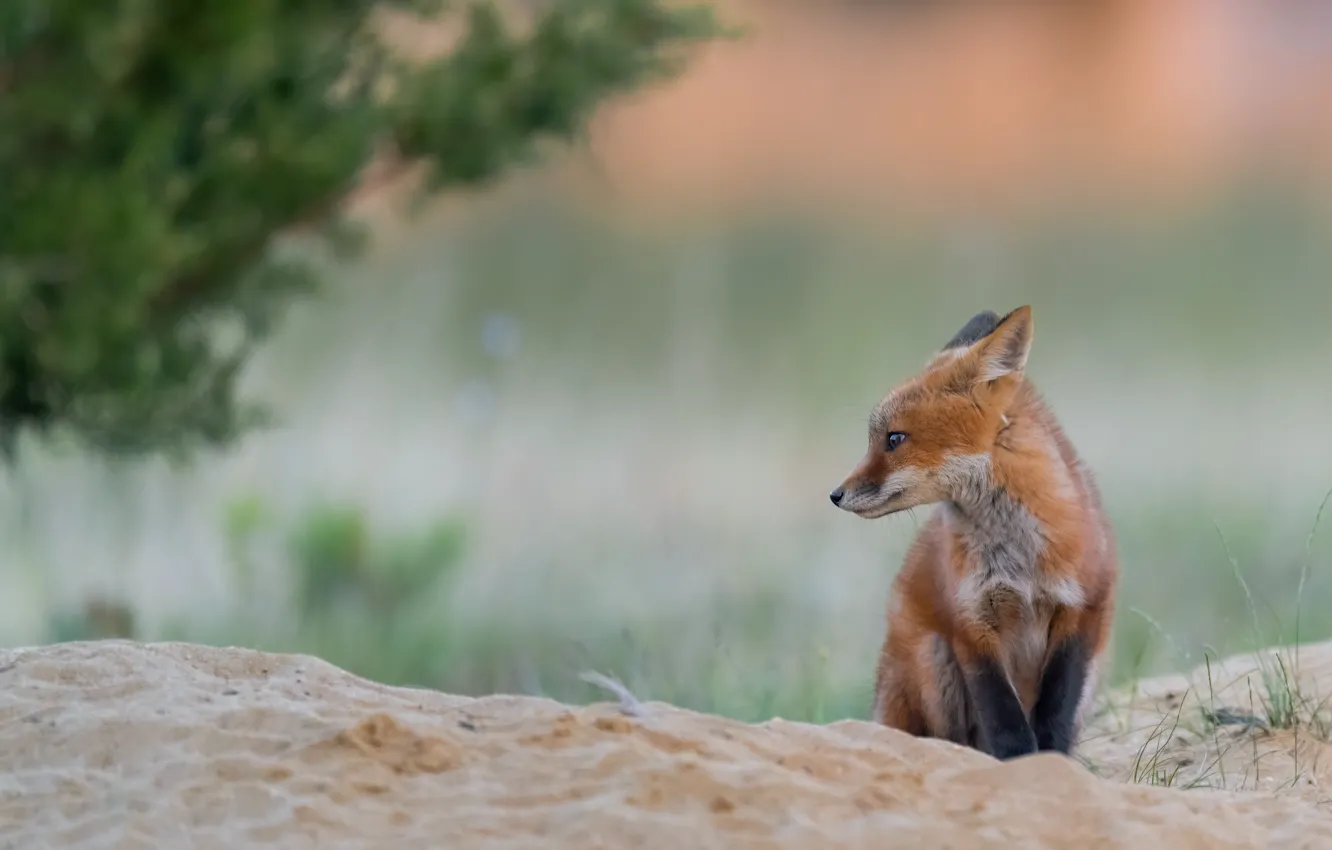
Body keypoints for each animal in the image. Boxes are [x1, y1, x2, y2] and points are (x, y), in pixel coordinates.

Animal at [829, 305, 1116, 760]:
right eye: (878, 439)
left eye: (894, 438)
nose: (835, 495)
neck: (1020, 561)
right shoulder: (970, 624)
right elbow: (1005, 723)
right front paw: (1021, 764)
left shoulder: (1082, 610)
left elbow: (1055, 712)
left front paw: (1054, 762)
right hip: (933, 657)